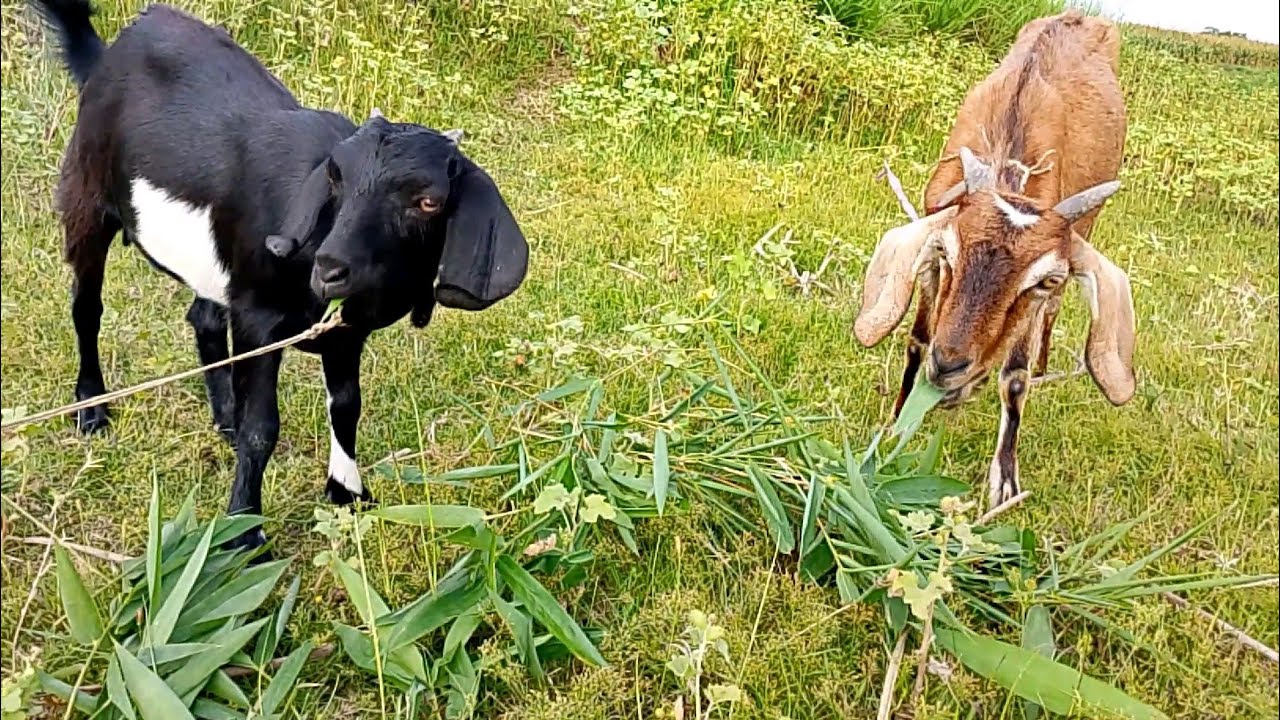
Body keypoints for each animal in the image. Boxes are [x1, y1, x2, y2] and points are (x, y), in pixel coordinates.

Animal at [32, 0, 529, 551]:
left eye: (428, 201)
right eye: (336, 176)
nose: (330, 268)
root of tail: (105, 55)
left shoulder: (344, 330)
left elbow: (346, 406)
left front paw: (348, 493)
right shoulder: (259, 317)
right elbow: (262, 426)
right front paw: (244, 534)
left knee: (204, 316)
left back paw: (222, 415)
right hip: (85, 196)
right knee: (87, 305)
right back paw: (91, 407)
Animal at [854, 11, 1136, 507]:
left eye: (1046, 279)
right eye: (947, 251)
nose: (950, 369)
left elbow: (1015, 376)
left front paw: (1005, 481)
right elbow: (916, 339)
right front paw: (895, 424)